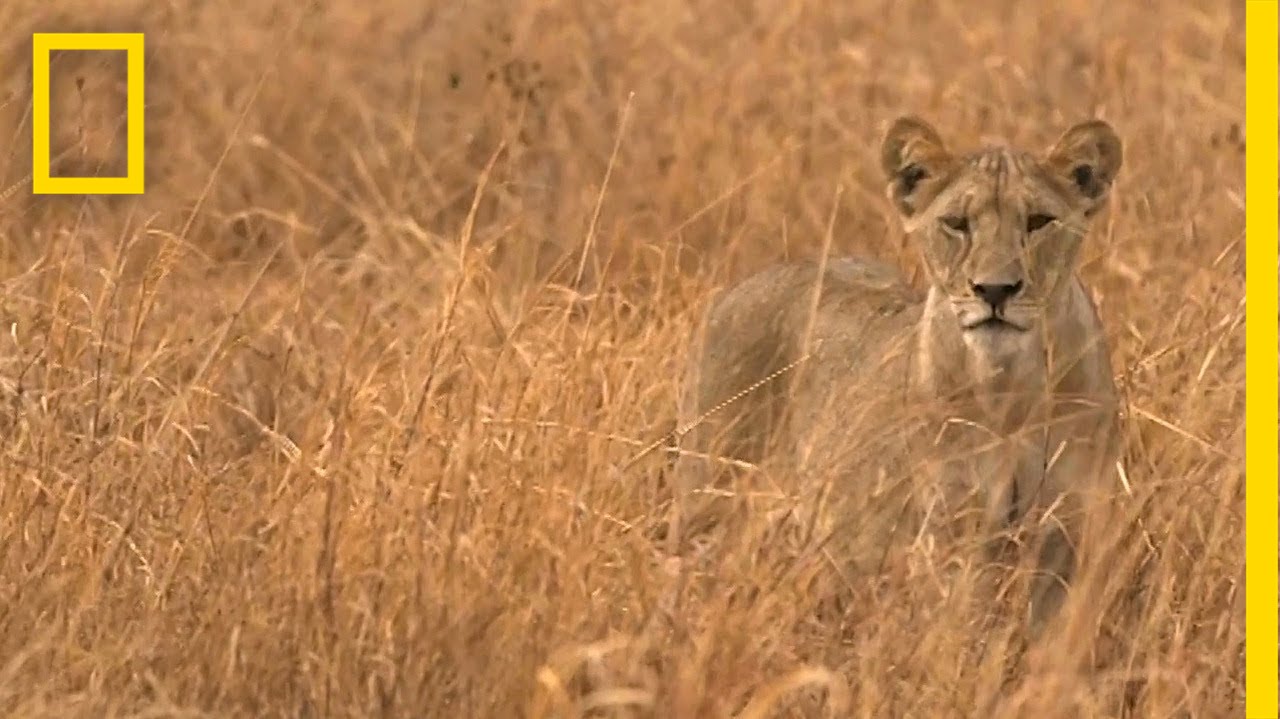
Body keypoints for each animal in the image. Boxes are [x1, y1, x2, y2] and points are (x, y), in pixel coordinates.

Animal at [672, 116, 1123, 635]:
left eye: (1038, 221)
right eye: (956, 224)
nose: (995, 290)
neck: (1011, 391)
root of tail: (734, 290)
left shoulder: (1068, 532)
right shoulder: (952, 530)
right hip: (708, 505)